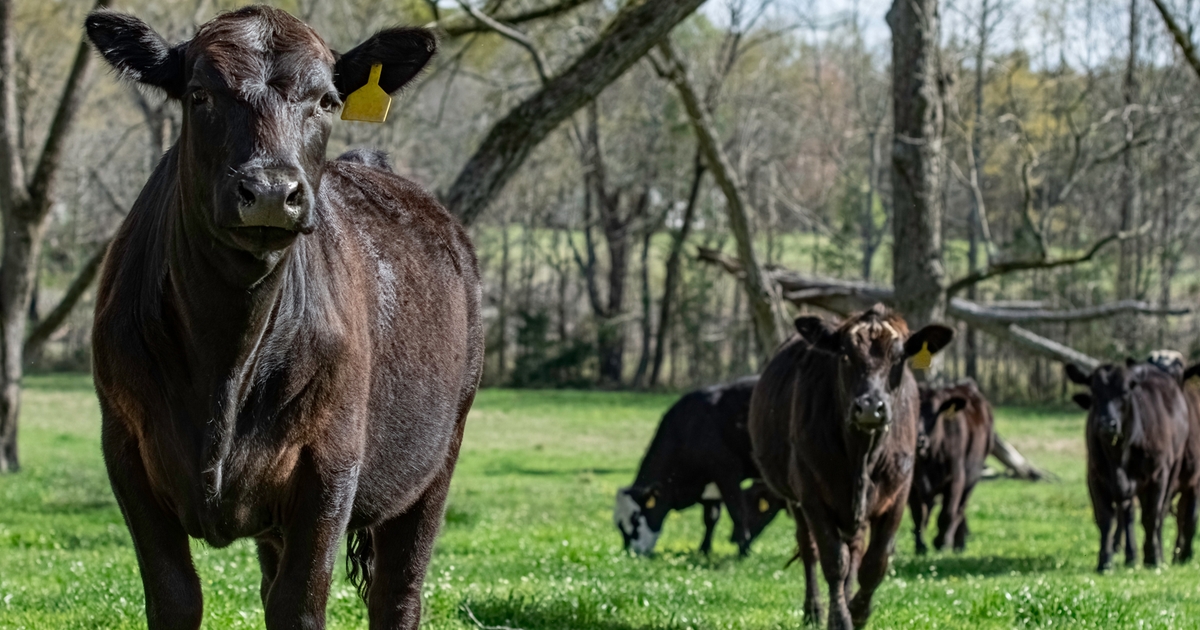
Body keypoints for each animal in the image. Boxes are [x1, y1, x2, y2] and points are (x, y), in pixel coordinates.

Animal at [85, 8, 483, 630]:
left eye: (326, 100)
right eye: (199, 94)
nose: (273, 191)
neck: (226, 356)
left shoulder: (331, 464)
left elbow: (300, 604)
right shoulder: (125, 449)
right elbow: (177, 596)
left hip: (438, 460)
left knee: (398, 592)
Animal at [614, 377, 786, 556]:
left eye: (635, 520)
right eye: (619, 527)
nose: (632, 553)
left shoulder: (727, 475)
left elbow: (737, 513)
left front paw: (743, 552)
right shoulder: (712, 484)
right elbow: (711, 518)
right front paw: (704, 550)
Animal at [750, 304, 954, 630]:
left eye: (899, 358)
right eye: (845, 355)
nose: (870, 407)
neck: (862, 454)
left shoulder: (898, 495)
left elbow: (875, 562)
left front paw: (858, 611)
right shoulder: (811, 493)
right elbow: (834, 560)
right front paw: (840, 618)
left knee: (856, 549)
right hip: (794, 498)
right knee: (809, 548)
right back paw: (814, 610)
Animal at [909, 379, 994, 555]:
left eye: (934, 413)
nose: (919, 439)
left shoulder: (956, 479)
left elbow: (947, 513)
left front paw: (941, 543)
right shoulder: (912, 485)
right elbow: (918, 514)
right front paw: (920, 545)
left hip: (971, 479)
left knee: (959, 509)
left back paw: (958, 543)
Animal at [1066, 361, 1192, 571]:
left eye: (1125, 392)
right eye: (1094, 392)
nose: (1106, 424)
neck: (1119, 453)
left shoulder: (1159, 475)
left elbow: (1151, 517)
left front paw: (1152, 558)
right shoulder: (1095, 476)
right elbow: (1106, 519)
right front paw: (1105, 562)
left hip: (1172, 472)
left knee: (1159, 514)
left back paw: (1155, 553)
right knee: (1127, 514)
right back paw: (1131, 556)